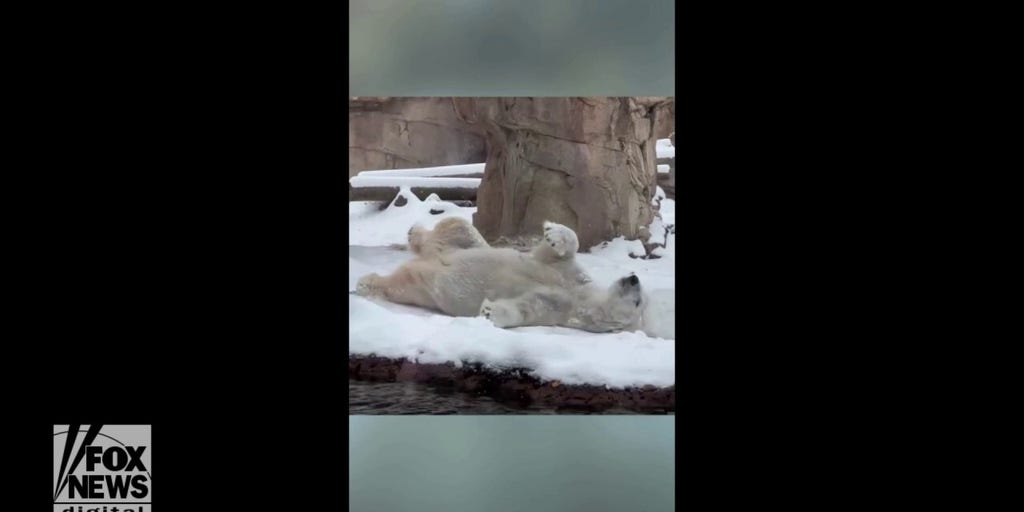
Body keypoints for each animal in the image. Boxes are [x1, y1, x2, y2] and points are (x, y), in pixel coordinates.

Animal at [355, 217, 648, 334]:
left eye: (638, 302)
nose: (635, 278)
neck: (581, 296)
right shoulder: (567, 274)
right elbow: (554, 252)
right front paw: (553, 232)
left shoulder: (557, 309)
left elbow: (524, 309)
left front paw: (488, 312)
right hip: (461, 244)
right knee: (457, 227)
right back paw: (415, 232)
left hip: (419, 289)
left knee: (400, 285)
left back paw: (366, 282)